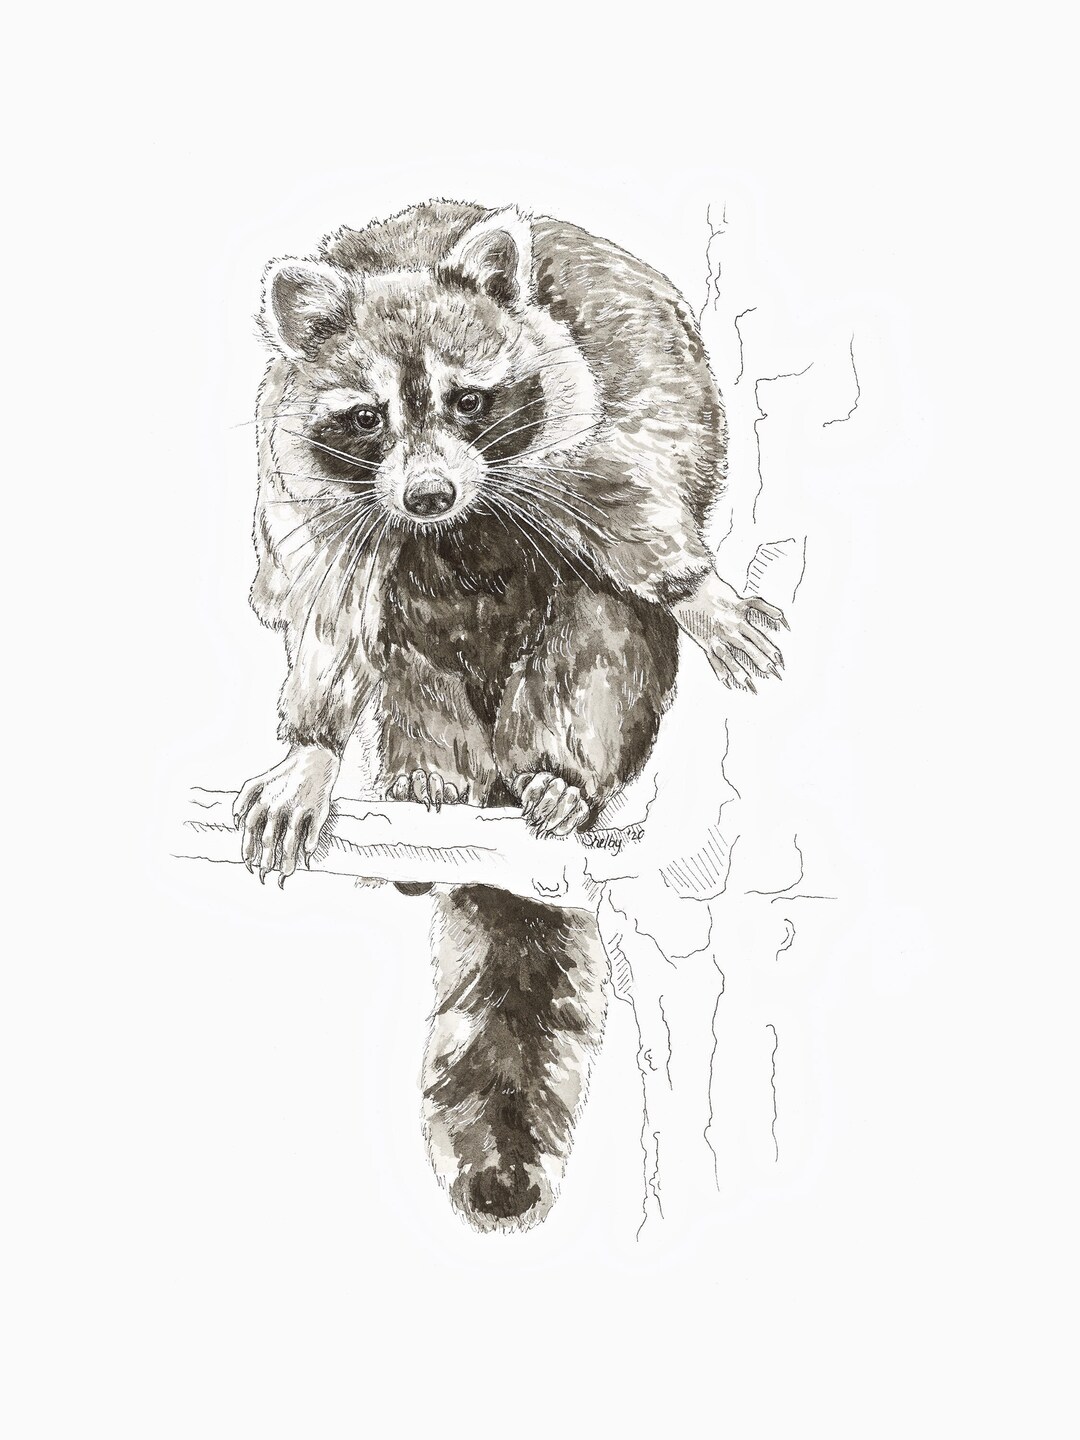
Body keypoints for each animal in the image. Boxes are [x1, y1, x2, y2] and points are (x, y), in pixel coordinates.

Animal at [233, 201, 785, 1231]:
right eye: (365, 417)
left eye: (469, 402)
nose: (428, 495)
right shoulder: (302, 473)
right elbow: (326, 596)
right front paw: (311, 743)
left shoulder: (592, 401)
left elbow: (624, 500)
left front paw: (694, 587)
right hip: (433, 695)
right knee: (407, 644)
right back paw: (428, 779)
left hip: (589, 675)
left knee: (598, 622)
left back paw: (568, 775)